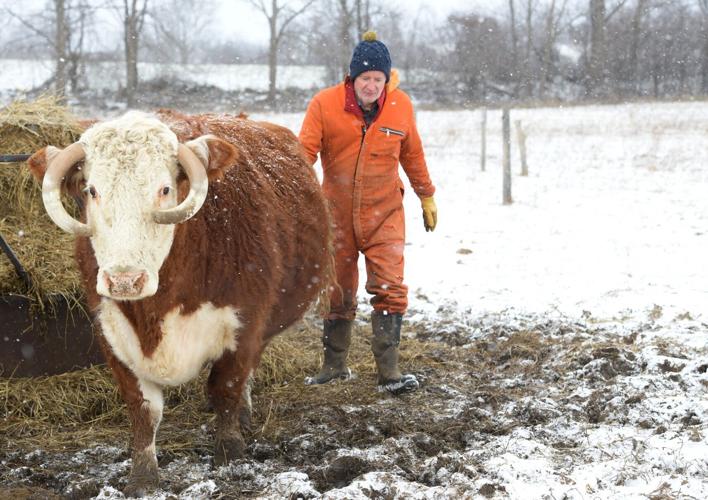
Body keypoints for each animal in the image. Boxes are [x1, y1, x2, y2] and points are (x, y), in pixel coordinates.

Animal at [27, 109, 333, 496]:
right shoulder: (111, 332)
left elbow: (225, 386)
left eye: (165, 189)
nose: (125, 280)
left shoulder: (245, 322)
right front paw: (143, 477)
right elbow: (143, 408)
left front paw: (230, 452)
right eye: (91, 190)